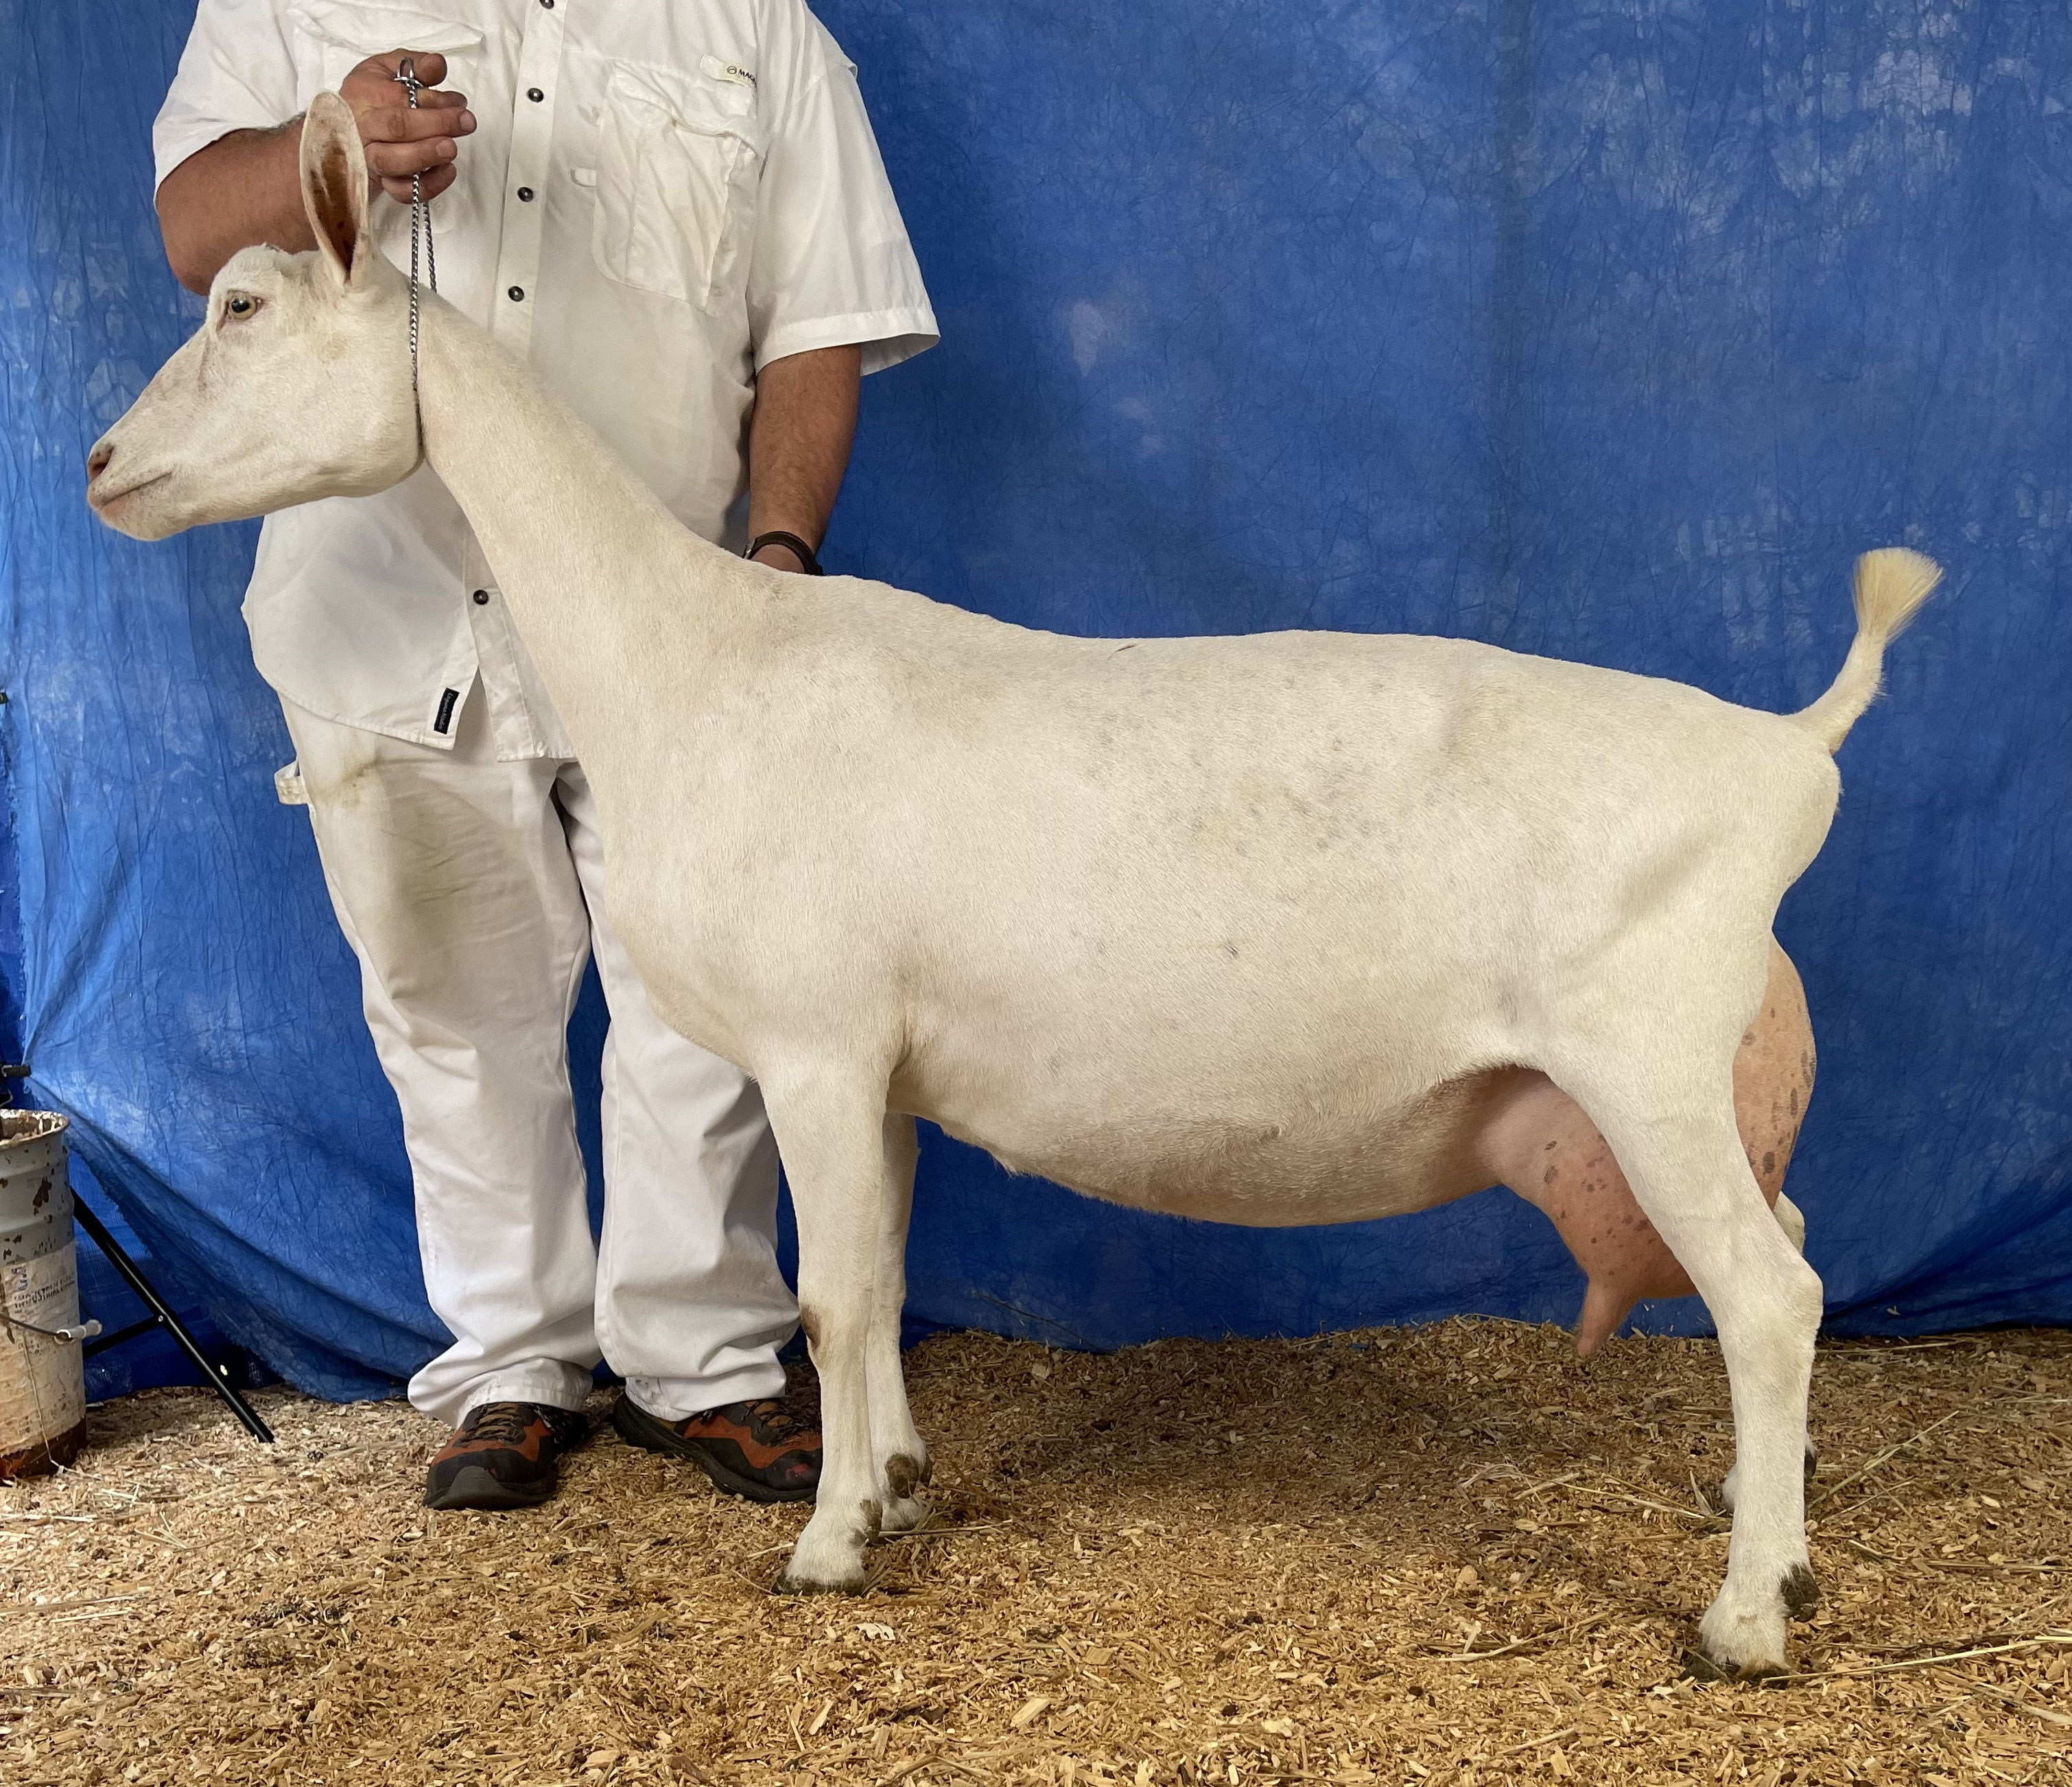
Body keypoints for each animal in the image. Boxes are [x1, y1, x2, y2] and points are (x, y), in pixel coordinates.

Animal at [88, 97, 1942, 1677]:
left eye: (241, 306)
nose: (103, 466)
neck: (691, 661)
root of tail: (1787, 752)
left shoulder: (816, 1043)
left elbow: (831, 1296)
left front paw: (830, 1543)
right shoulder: (890, 1068)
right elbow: (888, 1284)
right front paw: (900, 1486)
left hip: (1646, 1061)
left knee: (1771, 1297)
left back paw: (1744, 1623)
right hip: (1707, 1087)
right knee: (1784, 1258)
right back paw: (1764, 1536)